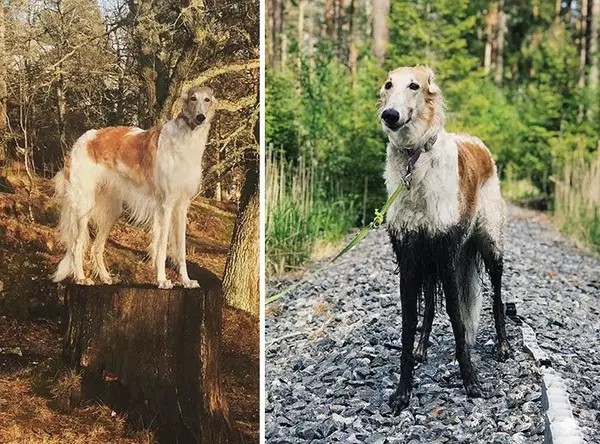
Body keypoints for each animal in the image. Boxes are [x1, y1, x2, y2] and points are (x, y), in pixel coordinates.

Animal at [53, 85, 218, 290]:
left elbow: (181, 250)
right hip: (84, 206)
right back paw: (81, 278)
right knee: (77, 245)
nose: (200, 117)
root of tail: (82, 139)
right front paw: (162, 280)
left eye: (207, 100)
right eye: (193, 98)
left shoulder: (182, 205)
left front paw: (186, 281)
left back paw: (106, 277)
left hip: (112, 211)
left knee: (96, 247)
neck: (187, 139)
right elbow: (161, 248)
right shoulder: (166, 205)